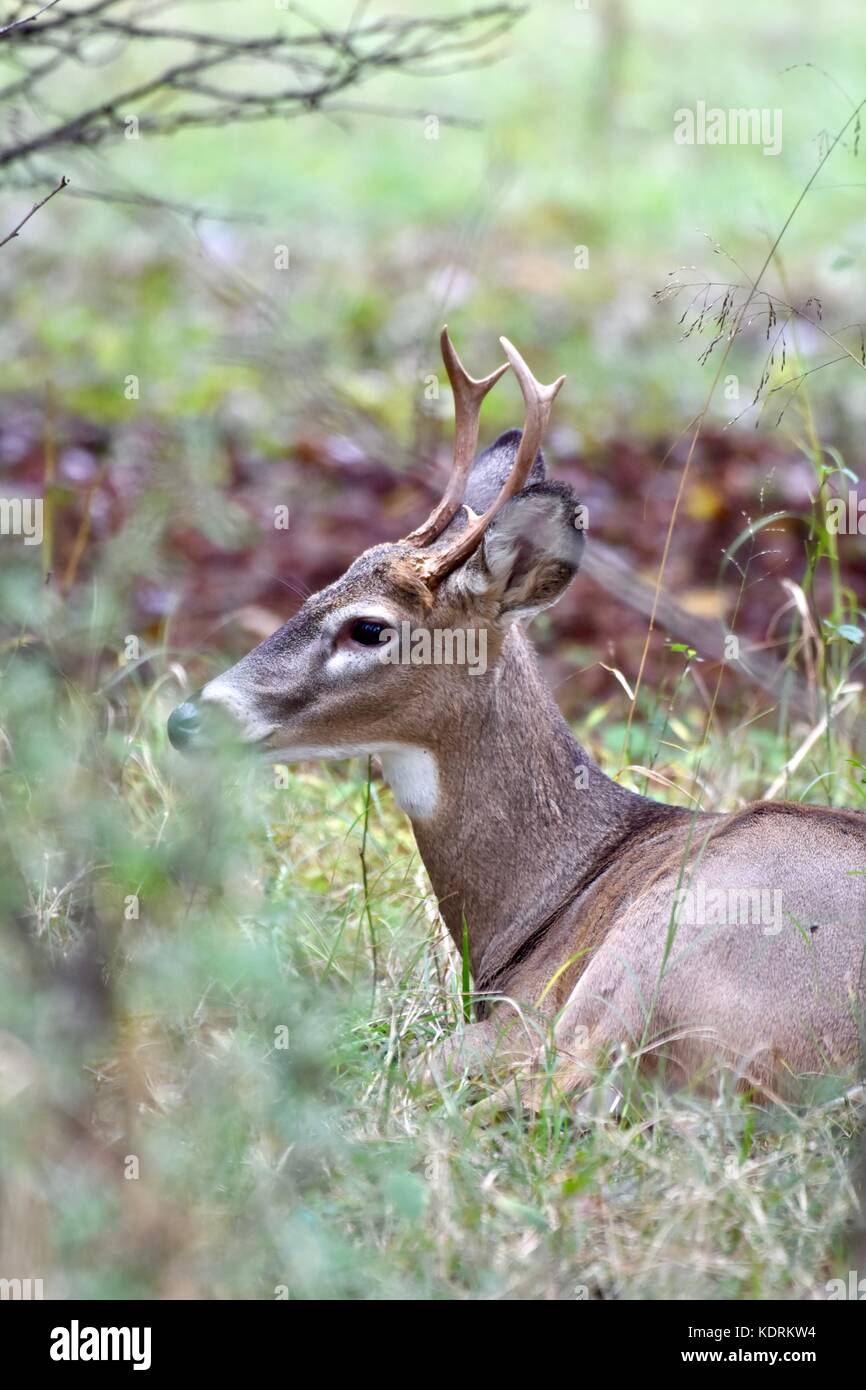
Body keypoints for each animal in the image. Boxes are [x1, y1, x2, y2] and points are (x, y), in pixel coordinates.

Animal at [167, 329, 866, 1112]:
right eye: (315, 591)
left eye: (370, 628)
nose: (187, 720)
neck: (543, 902)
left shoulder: (525, 1013)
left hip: (660, 957)